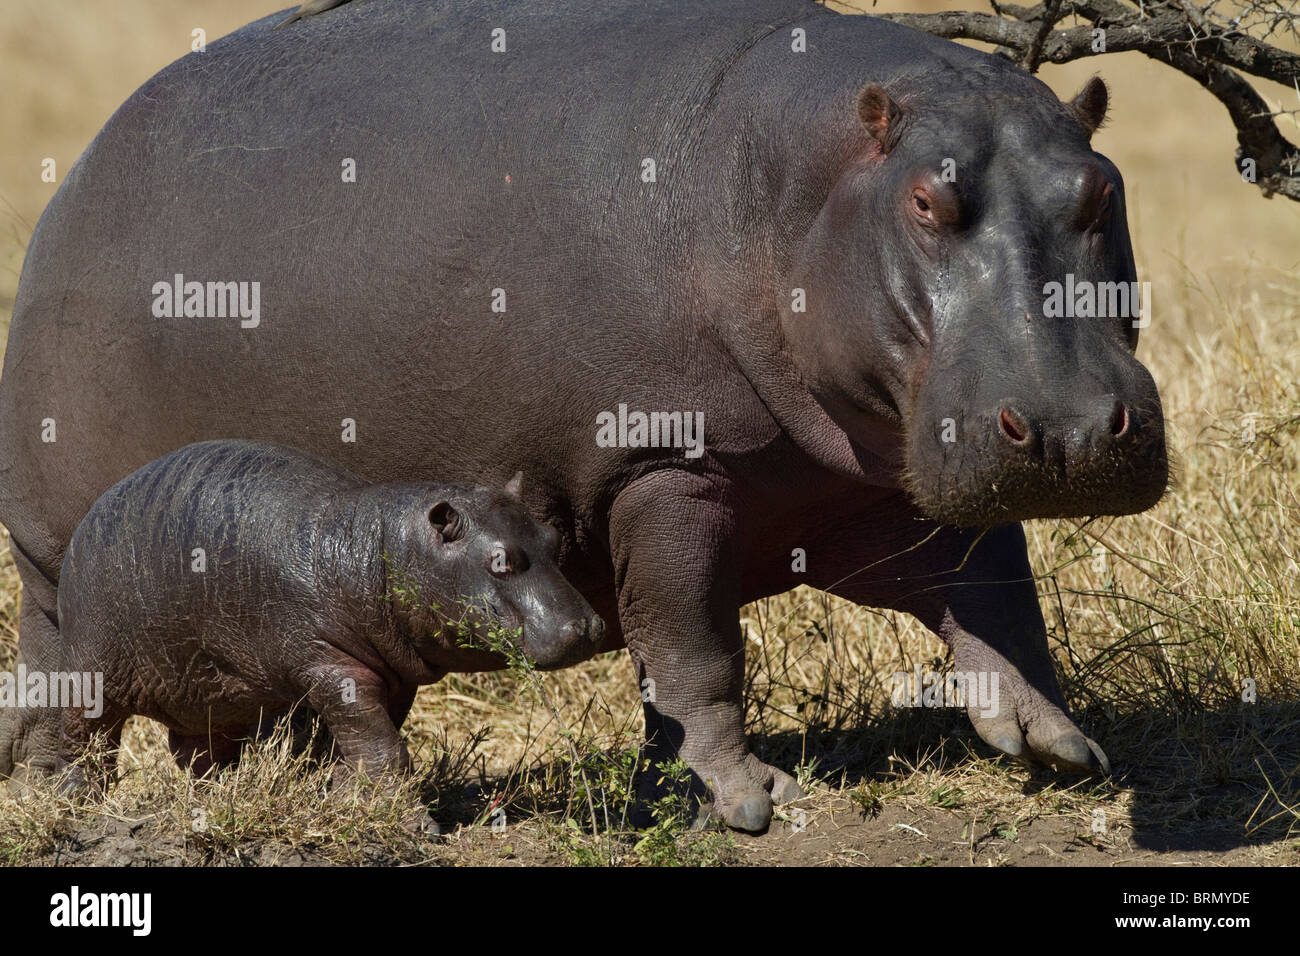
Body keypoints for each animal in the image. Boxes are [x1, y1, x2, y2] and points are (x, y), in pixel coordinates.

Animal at [53, 439, 603, 786]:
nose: (588, 625)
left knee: (198, 752)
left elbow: (361, 736)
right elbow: (379, 741)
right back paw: (79, 800)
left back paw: (217, 794)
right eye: (499, 560)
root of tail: (84, 523)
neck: (375, 550)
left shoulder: (393, 672)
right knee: (85, 740)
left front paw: (338, 786)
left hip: (205, 693)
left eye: (552, 538)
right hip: (92, 672)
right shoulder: (326, 660)